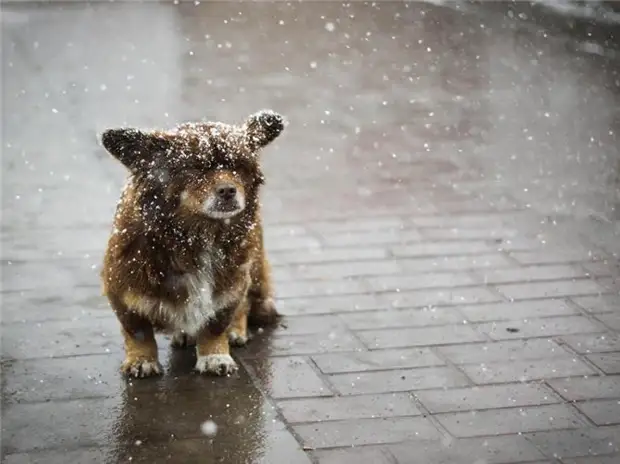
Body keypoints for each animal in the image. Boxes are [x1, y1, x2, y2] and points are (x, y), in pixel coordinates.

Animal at [100, 111, 284, 376]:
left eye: (238, 166)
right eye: (194, 168)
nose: (228, 190)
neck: (197, 235)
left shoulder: (230, 285)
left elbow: (216, 324)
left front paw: (215, 356)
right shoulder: (122, 289)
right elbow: (138, 331)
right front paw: (141, 360)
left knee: (246, 303)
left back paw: (236, 330)